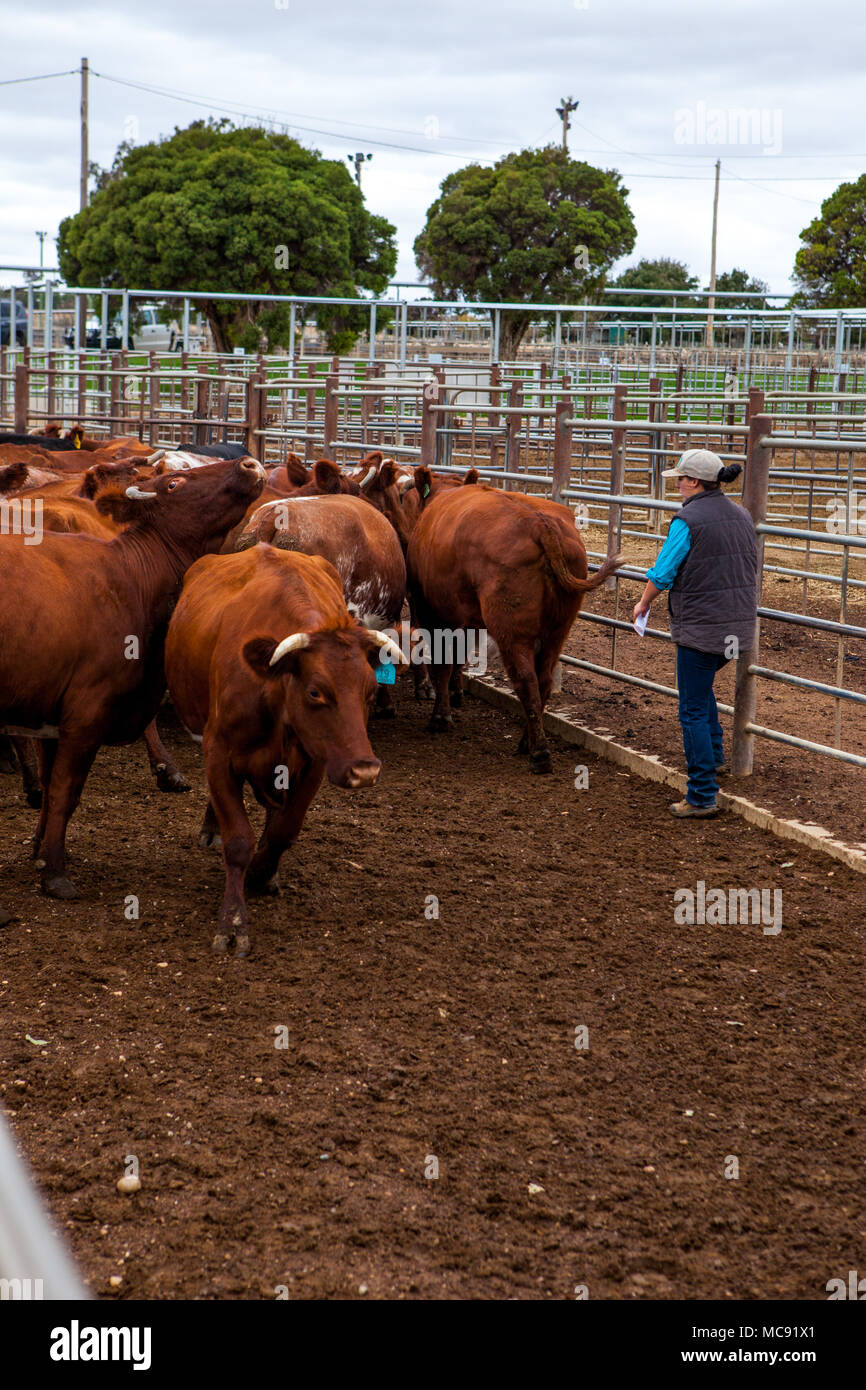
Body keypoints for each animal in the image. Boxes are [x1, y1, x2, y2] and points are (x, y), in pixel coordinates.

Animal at [0, 456, 265, 901]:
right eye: (174, 484)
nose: (249, 462)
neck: (131, 578)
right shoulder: (86, 713)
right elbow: (66, 791)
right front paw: (54, 871)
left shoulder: (51, 713)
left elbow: (53, 789)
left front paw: (39, 848)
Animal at [165, 545, 406, 956]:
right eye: (315, 691)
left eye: (371, 691)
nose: (365, 770)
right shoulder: (219, 752)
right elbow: (238, 840)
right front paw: (233, 920)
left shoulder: (314, 762)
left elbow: (284, 830)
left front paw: (263, 872)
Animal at [406, 475, 624, 772]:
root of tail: (539, 523)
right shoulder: (466, 621)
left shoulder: (433, 613)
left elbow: (442, 664)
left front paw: (440, 717)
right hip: (557, 632)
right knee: (543, 681)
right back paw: (527, 741)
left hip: (511, 631)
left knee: (526, 680)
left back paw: (539, 753)